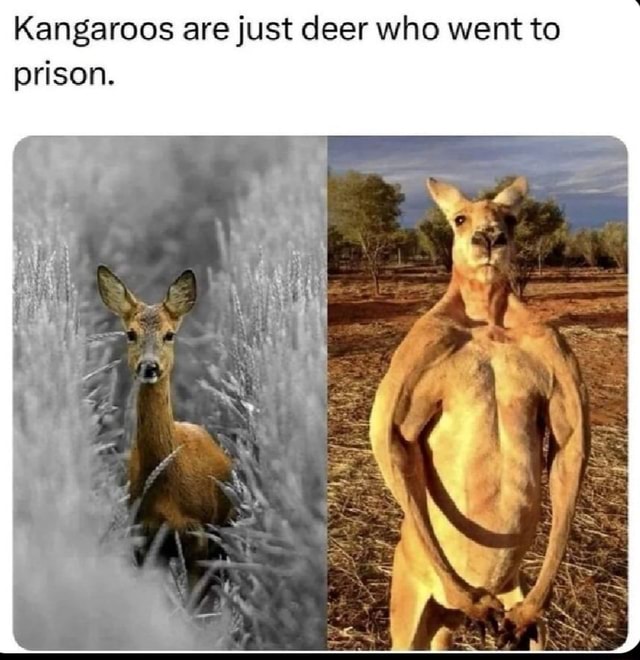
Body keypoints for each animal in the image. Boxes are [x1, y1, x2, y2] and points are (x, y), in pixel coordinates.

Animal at [370, 176, 590, 650]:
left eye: (511, 218)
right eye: (459, 218)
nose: (489, 238)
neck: (488, 318)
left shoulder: (554, 348)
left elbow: (570, 444)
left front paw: (532, 607)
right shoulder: (421, 347)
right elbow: (391, 437)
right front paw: (469, 597)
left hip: (501, 607)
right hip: (410, 604)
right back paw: (471, 600)